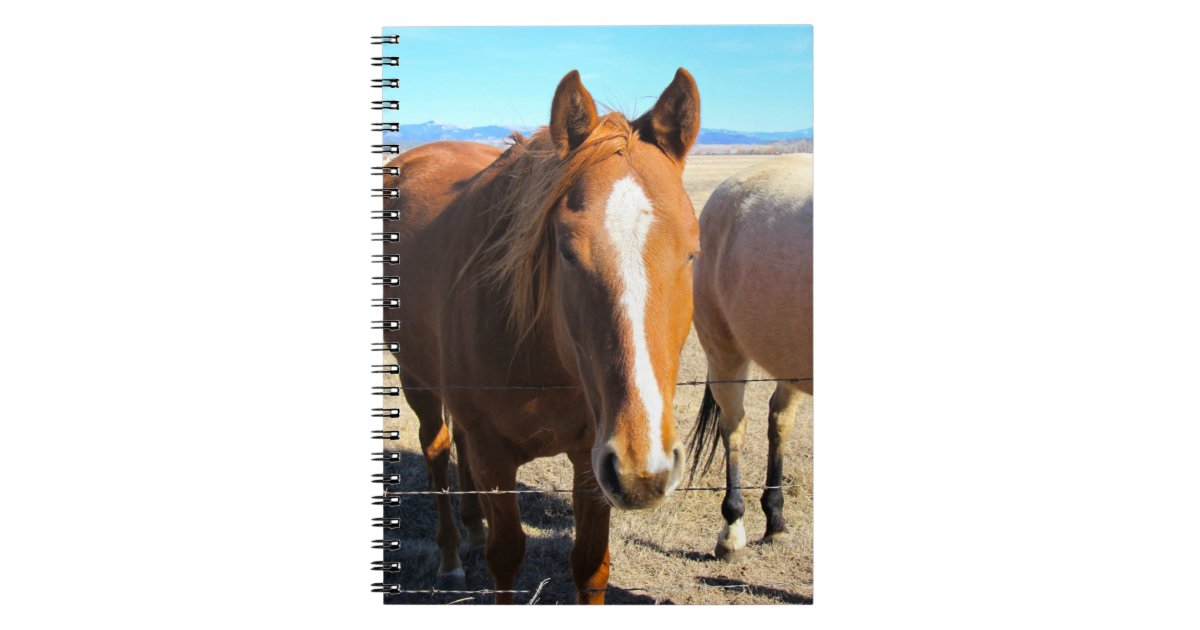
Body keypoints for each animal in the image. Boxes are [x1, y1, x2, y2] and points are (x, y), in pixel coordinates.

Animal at [382, 69, 702, 604]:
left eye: (694, 252)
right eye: (567, 251)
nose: (643, 469)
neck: (546, 356)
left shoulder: (594, 458)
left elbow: (590, 565)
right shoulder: (497, 458)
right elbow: (507, 557)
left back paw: (472, 529)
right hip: (416, 377)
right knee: (437, 449)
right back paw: (451, 557)